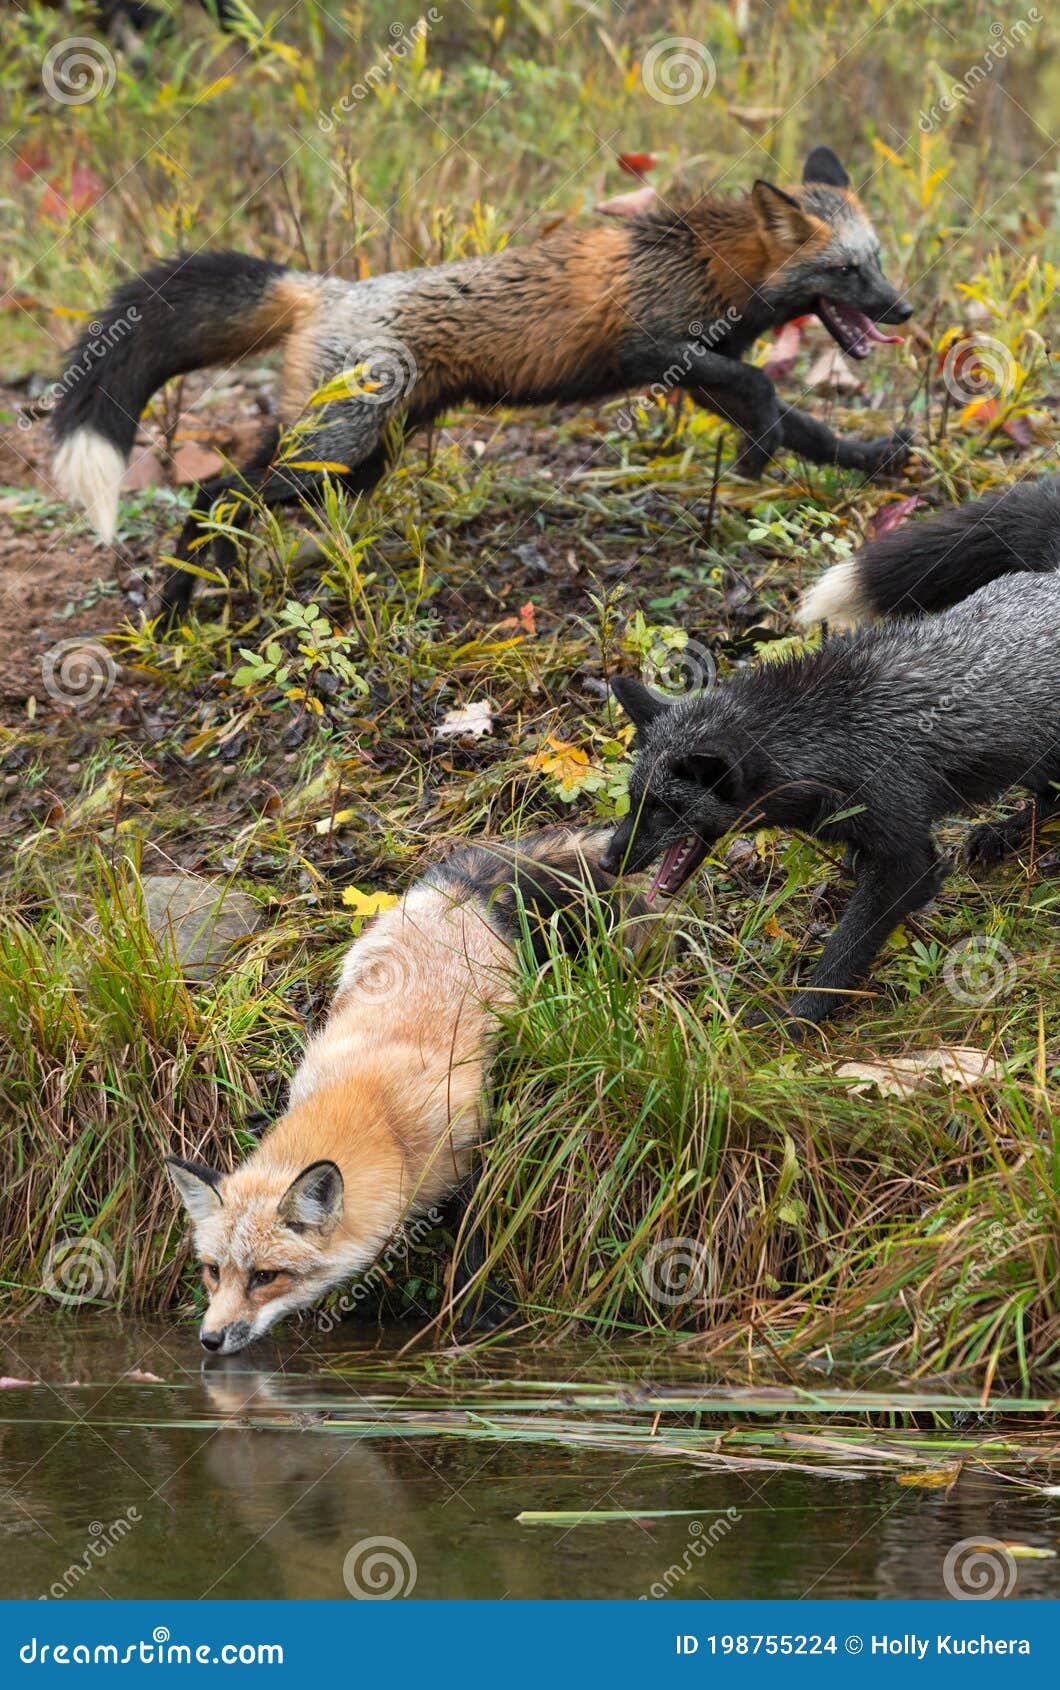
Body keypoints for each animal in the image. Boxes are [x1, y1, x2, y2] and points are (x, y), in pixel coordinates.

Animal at [51, 145, 913, 621]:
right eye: (848, 271)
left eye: (877, 262)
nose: (904, 308)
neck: (705, 260)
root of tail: (325, 288)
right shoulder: (652, 350)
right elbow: (764, 392)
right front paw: (760, 454)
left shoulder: (699, 373)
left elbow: (808, 426)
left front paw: (872, 458)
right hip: (334, 453)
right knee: (218, 490)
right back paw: (175, 612)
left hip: (348, 458)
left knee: (231, 490)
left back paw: (205, 588)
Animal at [165, 826, 652, 1353]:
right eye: (214, 1271)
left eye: (264, 1276)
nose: (209, 1340)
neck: (369, 1103)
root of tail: (455, 891)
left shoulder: (468, 1147)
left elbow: (473, 1232)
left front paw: (478, 1305)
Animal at [600, 570, 1060, 1031]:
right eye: (634, 800)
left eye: (662, 809)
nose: (606, 862)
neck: (833, 732)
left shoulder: (906, 861)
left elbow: (843, 951)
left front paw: (799, 1014)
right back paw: (1002, 833)